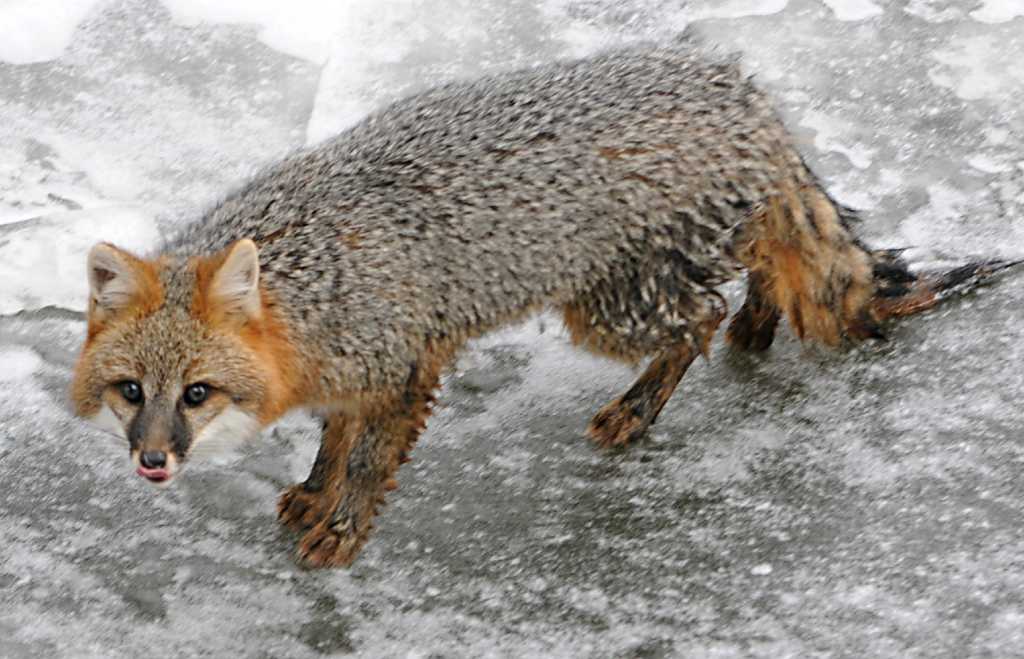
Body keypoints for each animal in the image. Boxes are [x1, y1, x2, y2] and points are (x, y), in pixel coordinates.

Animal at [71, 45, 1017, 568]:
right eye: (131, 392)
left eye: (197, 394)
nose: (152, 460)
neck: (312, 282)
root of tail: (735, 81)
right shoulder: (358, 367)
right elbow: (335, 439)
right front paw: (311, 490)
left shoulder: (407, 364)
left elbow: (369, 461)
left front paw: (342, 529)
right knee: (763, 265)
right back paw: (759, 322)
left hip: (608, 309)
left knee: (702, 314)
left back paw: (645, 402)